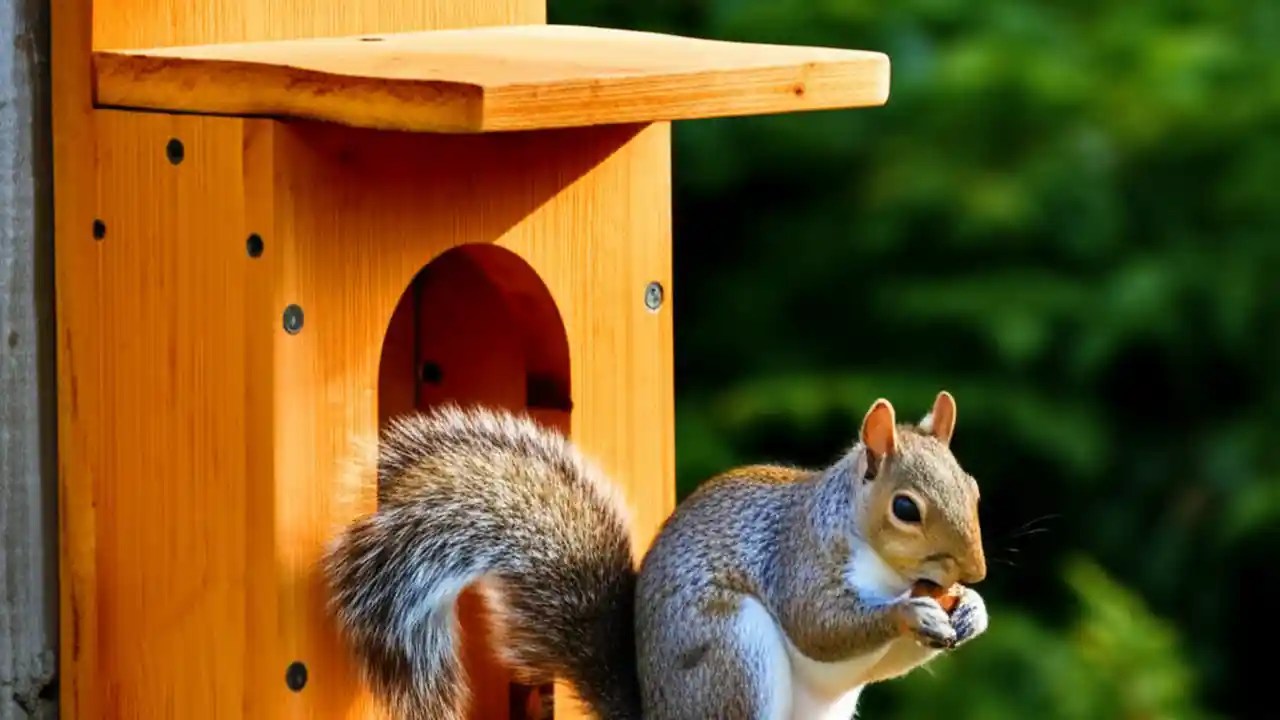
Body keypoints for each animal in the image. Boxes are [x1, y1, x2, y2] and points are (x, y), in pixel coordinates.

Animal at [322, 390, 989, 720]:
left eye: (974, 486)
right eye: (905, 508)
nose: (977, 570)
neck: (890, 570)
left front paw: (972, 610)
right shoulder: (798, 556)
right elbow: (819, 625)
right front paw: (906, 613)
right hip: (731, 659)